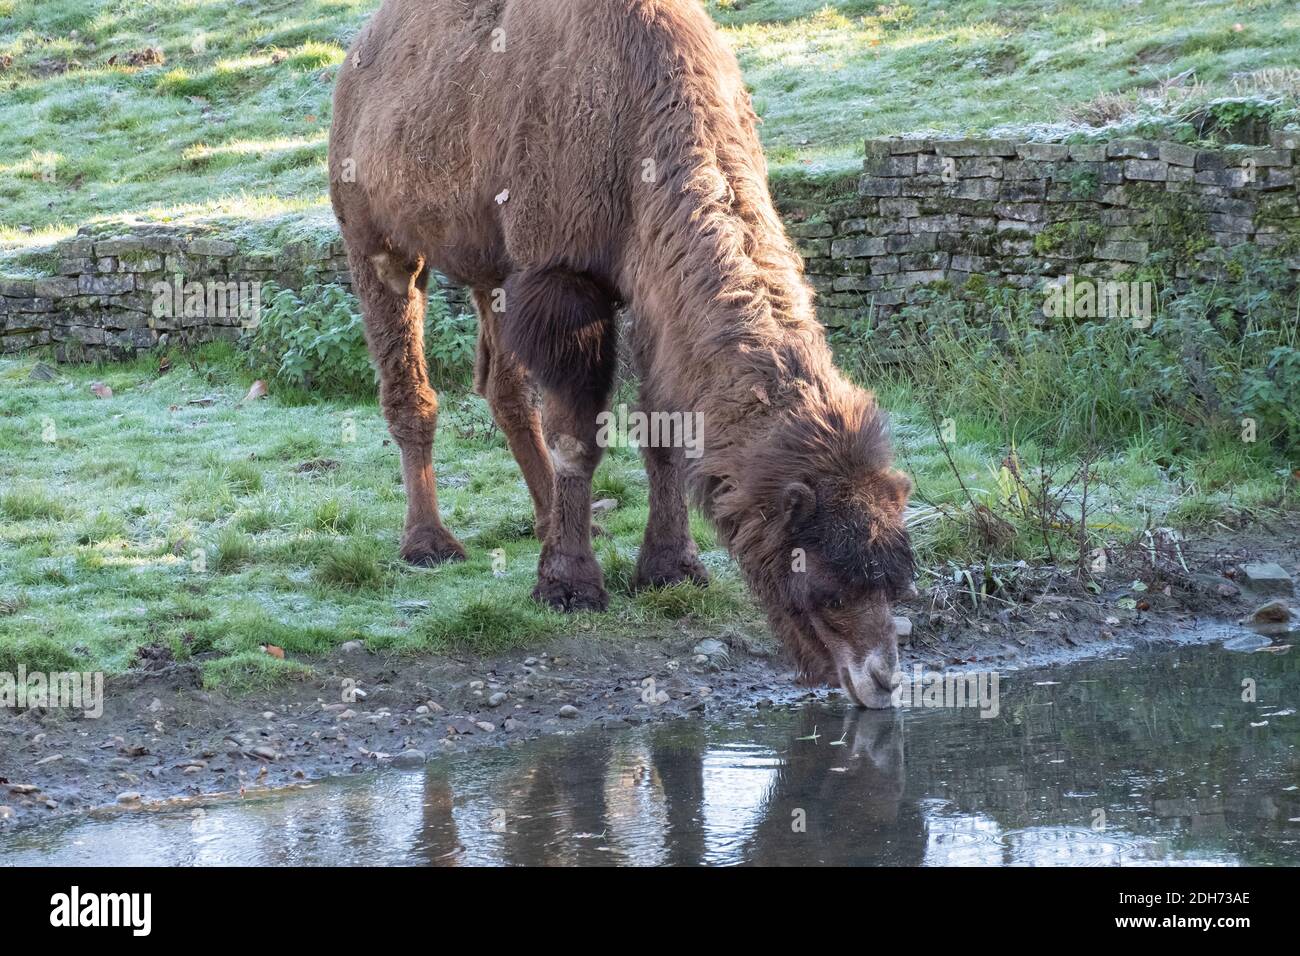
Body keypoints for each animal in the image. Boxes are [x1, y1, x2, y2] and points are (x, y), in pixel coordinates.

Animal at [328, 0, 914, 707]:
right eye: (822, 582)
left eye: (899, 580)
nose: (880, 679)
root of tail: (353, 60)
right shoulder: (561, 276)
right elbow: (576, 434)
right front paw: (568, 585)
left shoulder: (648, 276)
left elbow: (663, 426)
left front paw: (670, 568)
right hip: (374, 233)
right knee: (410, 379)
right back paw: (430, 543)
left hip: (489, 263)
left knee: (501, 385)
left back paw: (549, 519)